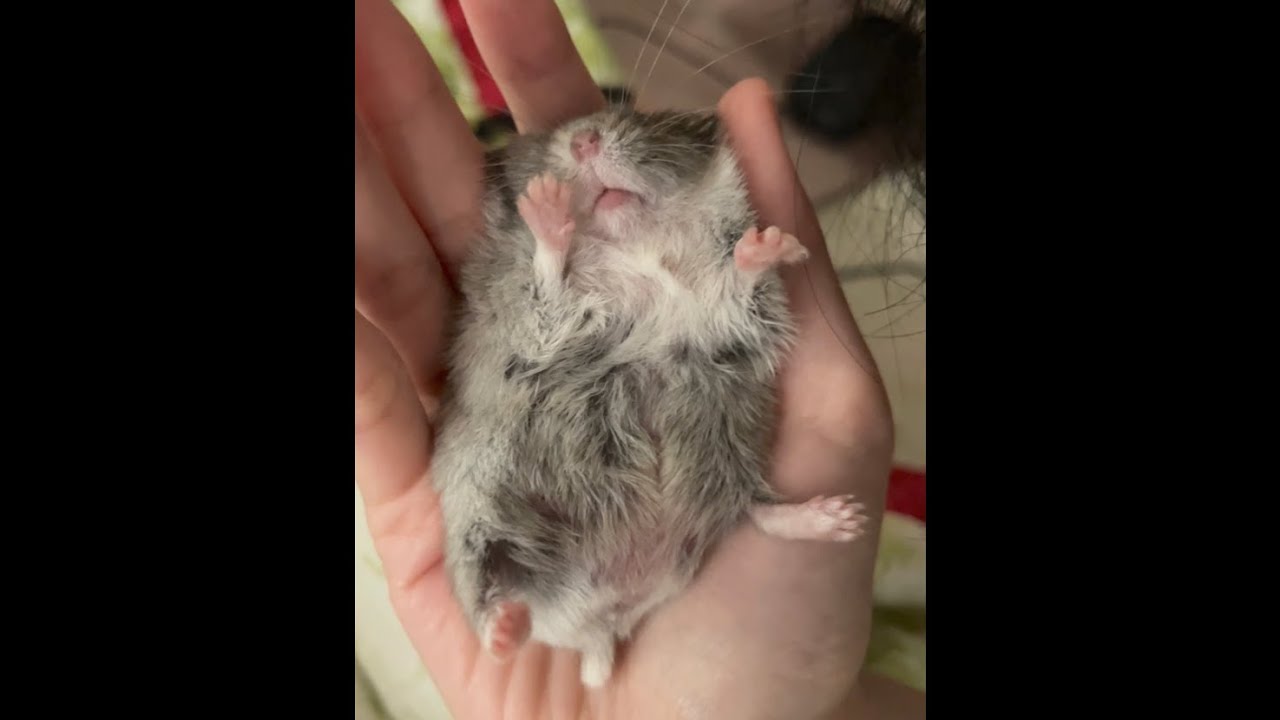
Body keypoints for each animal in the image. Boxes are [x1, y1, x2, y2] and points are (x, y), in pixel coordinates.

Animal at [430, 106, 869, 688]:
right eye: (549, 139)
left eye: (636, 117)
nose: (584, 141)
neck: (633, 245)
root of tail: (604, 620)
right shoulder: (526, 328)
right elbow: (549, 283)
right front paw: (544, 205)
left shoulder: (723, 326)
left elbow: (734, 292)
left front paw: (773, 246)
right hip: (476, 535)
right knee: (495, 598)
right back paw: (505, 630)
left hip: (728, 461)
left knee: (754, 511)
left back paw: (842, 519)